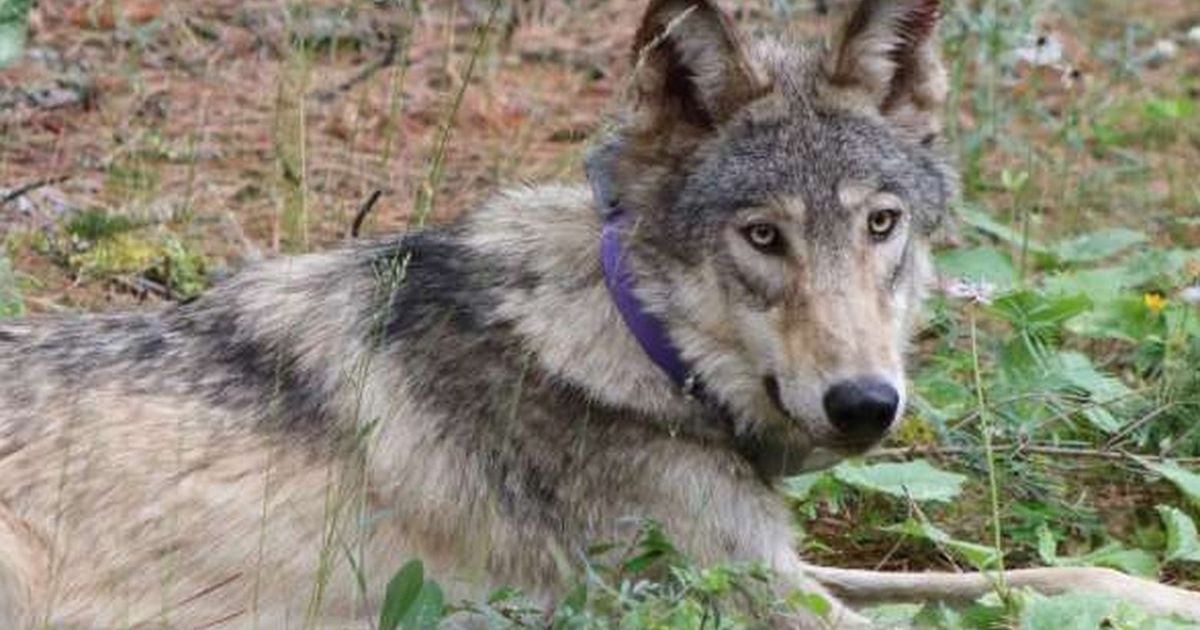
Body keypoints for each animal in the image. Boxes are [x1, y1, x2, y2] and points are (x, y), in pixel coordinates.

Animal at [2, 0, 1200, 627]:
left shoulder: (774, 565)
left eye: (881, 224)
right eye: (761, 237)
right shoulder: (751, 598)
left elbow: (1047, 577)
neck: (641, 351)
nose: (865, 404)